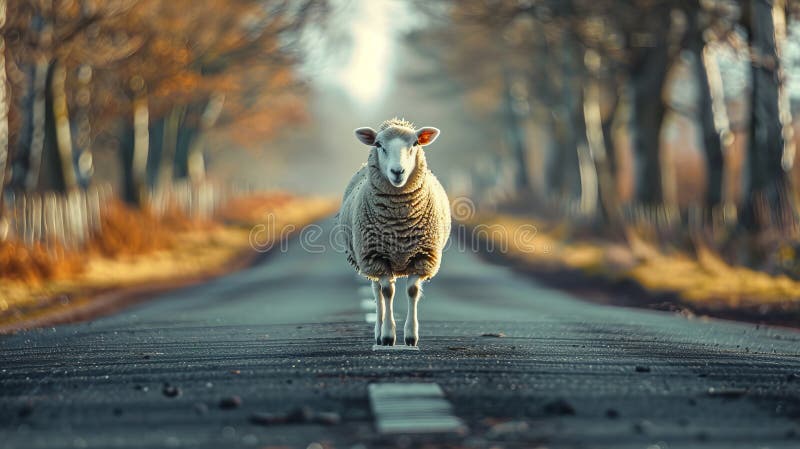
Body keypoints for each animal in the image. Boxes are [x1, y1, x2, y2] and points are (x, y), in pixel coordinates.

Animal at [338, 118, 451, 347]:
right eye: (378, 145)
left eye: (415, 143)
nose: (397, 172)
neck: (399, 221)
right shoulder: (376, 257)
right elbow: (387, 292)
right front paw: (388, 335)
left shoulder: (422, 256)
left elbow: (412, 291)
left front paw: (411, 336)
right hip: (370, 261)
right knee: (378, 293)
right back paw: (379, 332)